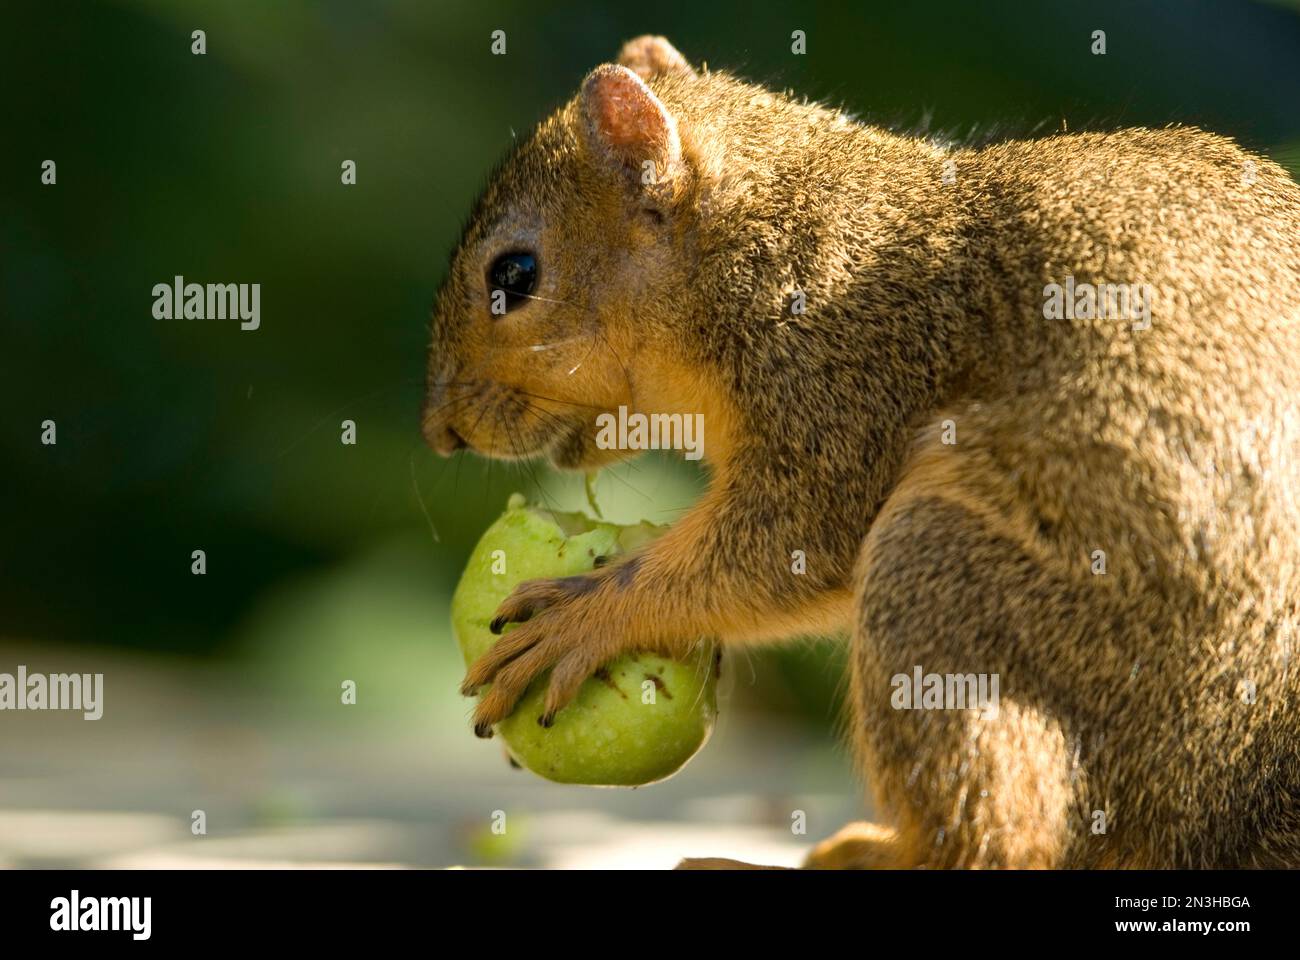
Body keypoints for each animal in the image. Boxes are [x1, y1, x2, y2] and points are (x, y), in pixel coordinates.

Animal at [423, 35, 1300, 868]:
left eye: (515, 274)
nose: (438, 431)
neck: (767, 240)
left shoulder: (844, 384)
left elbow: (787, 548)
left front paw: (588, 613)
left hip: (950, 581)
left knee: (989, 848)